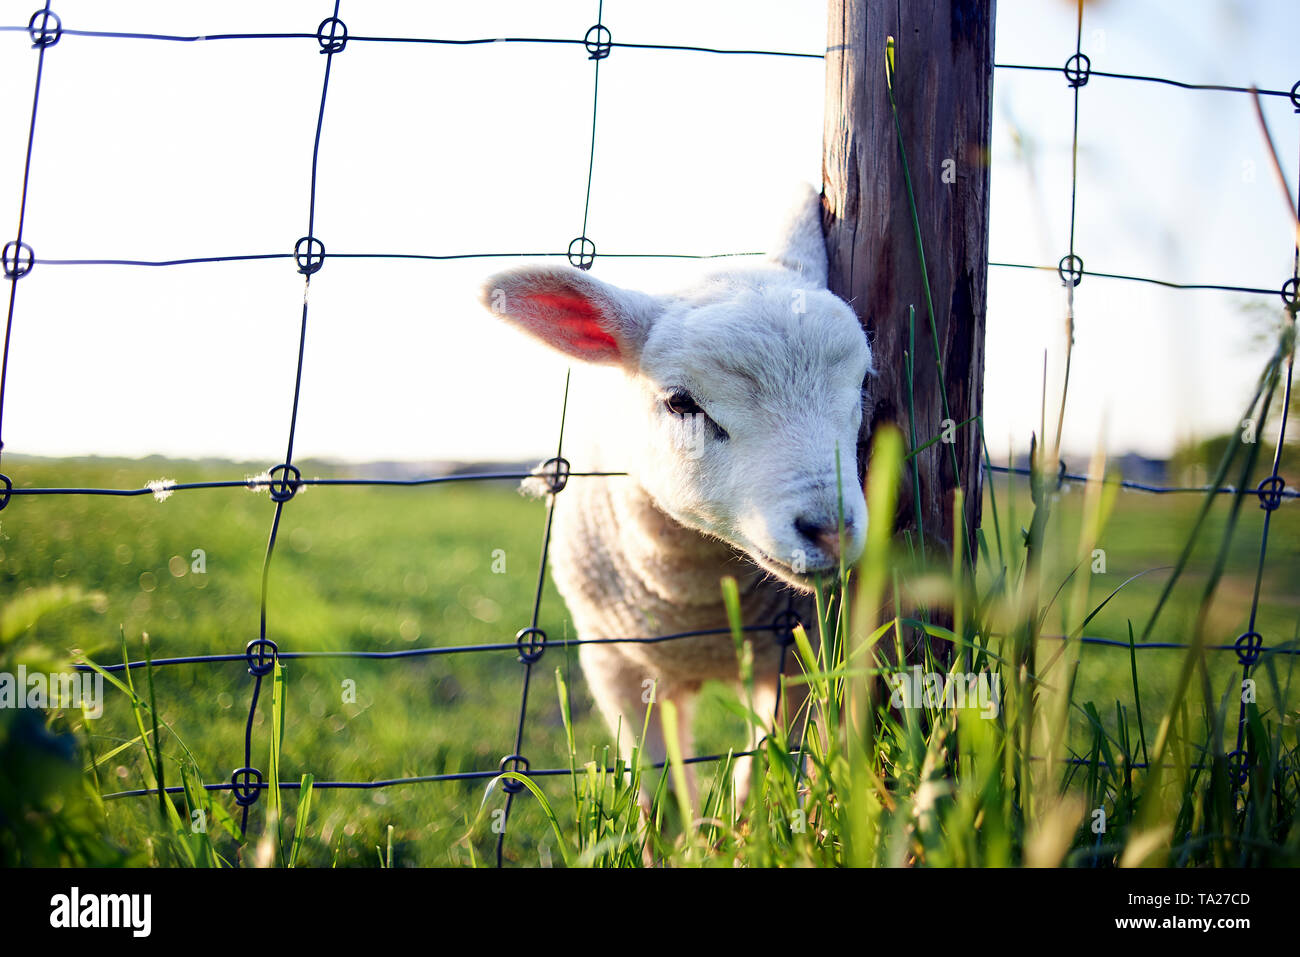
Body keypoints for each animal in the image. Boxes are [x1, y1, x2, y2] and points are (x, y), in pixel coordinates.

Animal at [480, 185, 874, 806]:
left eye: (864, 383)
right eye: (681, 402)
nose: (830, 530)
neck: (698, 598)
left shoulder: (796, 661)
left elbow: (763, 774)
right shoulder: (615, 665)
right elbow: (661, 795)